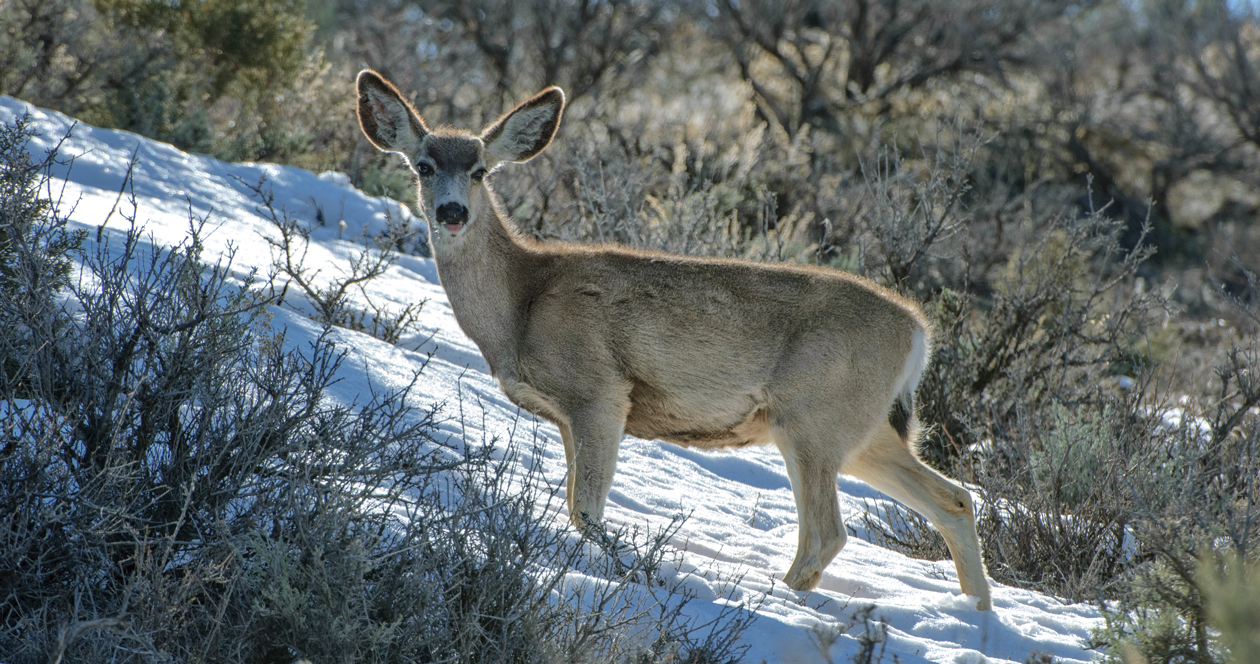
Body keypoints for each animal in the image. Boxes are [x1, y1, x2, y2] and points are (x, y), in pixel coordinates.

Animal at [355, 70, 992, 611]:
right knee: (955, 500)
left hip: (812, 418)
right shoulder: (564, 414)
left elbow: (585, 510)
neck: (521, 303)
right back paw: (977, 616)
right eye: (423, 165)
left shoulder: (599, 391)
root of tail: (918, 332)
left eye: (482, 169)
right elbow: (574, 506)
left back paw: (777, 603)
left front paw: (629, 569)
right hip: (864, 431)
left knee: (827, 534)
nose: (452, 212)